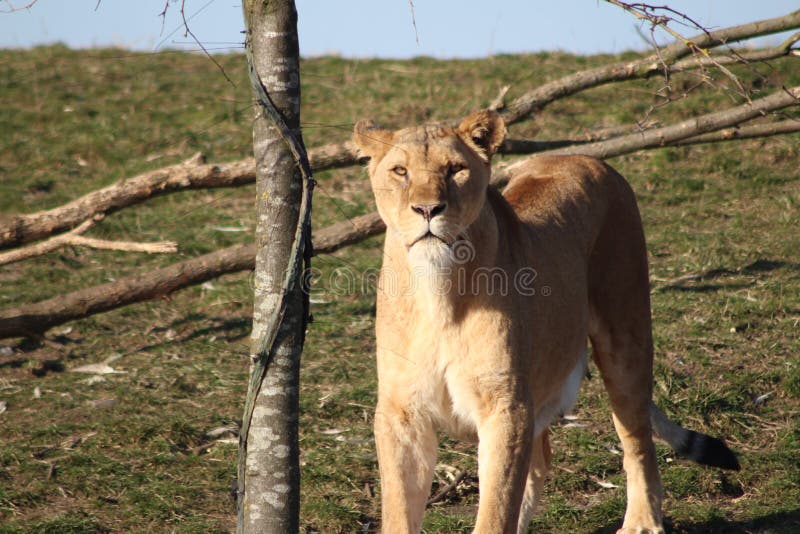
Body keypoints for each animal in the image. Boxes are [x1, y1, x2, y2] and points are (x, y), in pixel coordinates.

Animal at [353, 110, 739, 534]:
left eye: (455, 169)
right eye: (400, 171)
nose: (427, 210)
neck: (436, 292)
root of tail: (582, 157)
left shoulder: (505, 406)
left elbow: (495, 510)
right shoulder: (401, 413)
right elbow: (400, 509)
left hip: (626, 334)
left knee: (637, 440)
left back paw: (641, 521)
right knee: (540, 460)